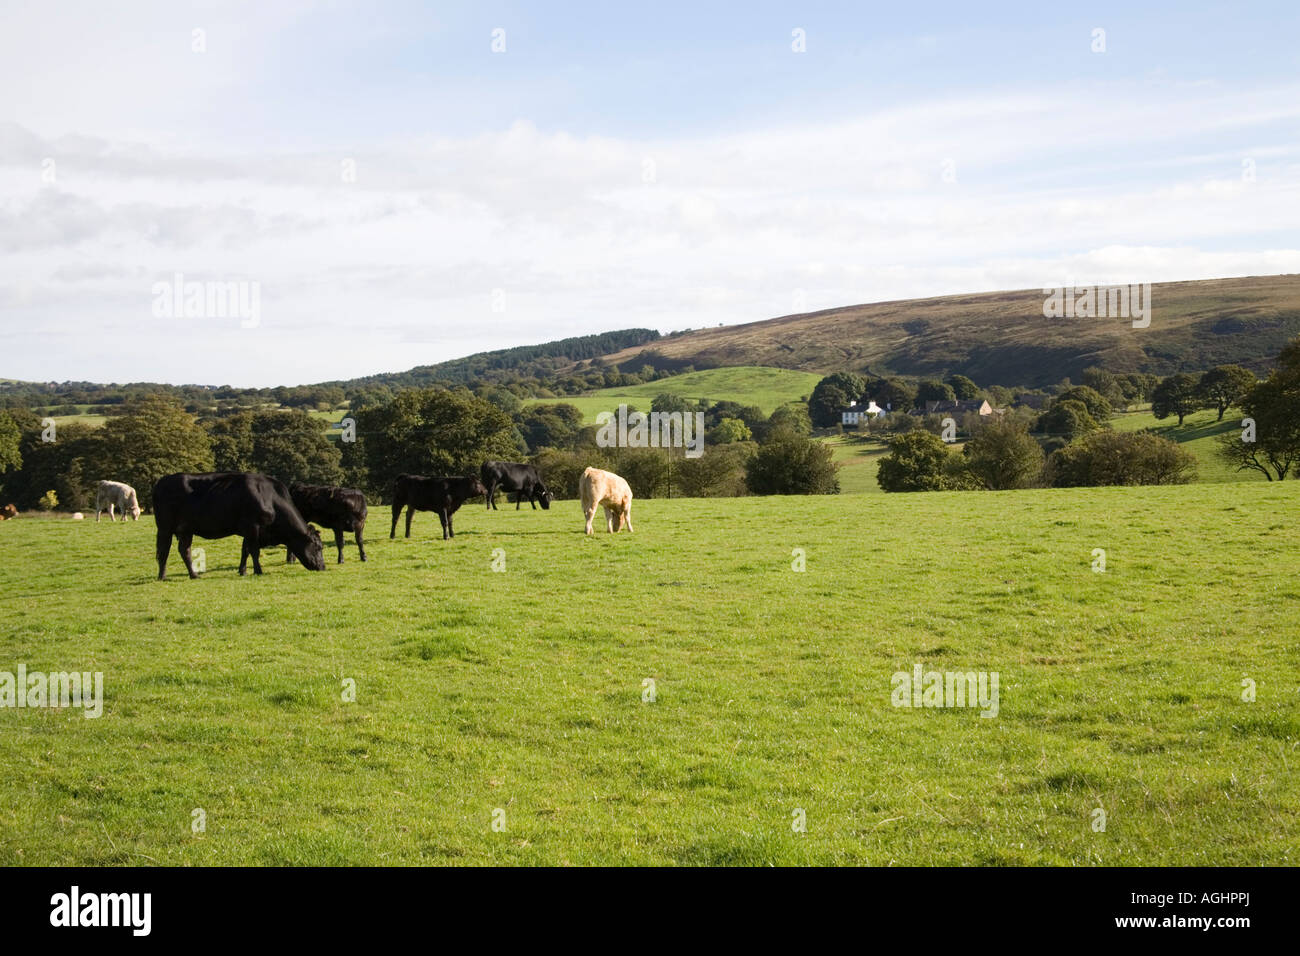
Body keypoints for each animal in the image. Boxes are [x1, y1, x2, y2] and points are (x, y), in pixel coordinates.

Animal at [152, 472, 326, 579]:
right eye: (318, 547)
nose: (322, 567)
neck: (270, 500)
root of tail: (162, 481)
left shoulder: (248, 531)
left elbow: (245, 551)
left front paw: (242, 571)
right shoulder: (253, 527)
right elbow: (254, 551)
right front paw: (258, 571)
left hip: (186, 530)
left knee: (185, 550)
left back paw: (194, 575)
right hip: (165, 528)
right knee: (164, 551)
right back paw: (162, 576)